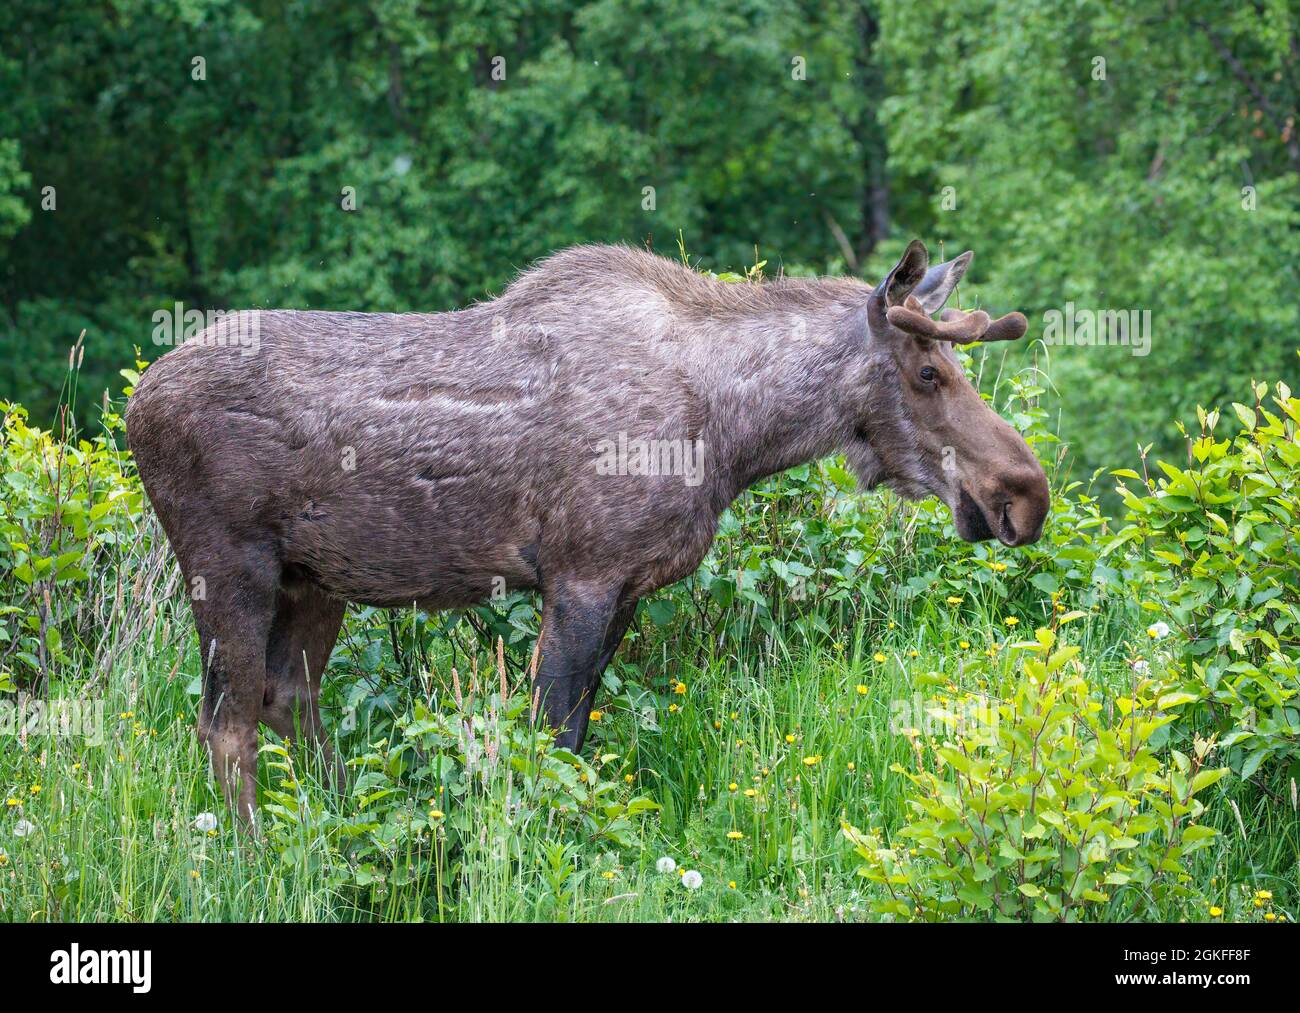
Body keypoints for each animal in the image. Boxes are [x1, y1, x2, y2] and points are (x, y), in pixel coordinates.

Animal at [125, 239, 1049, 822]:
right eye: (926, 372)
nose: (1025, 493)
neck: (734, 434)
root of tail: (135, 403)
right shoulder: (581, 573)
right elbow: (551, 737)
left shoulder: (628, 586)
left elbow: (575, 739)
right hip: (228, 561)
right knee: (226, 723)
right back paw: (255, 858)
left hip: (315, 578)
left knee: (288, 700)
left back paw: (341, 831)